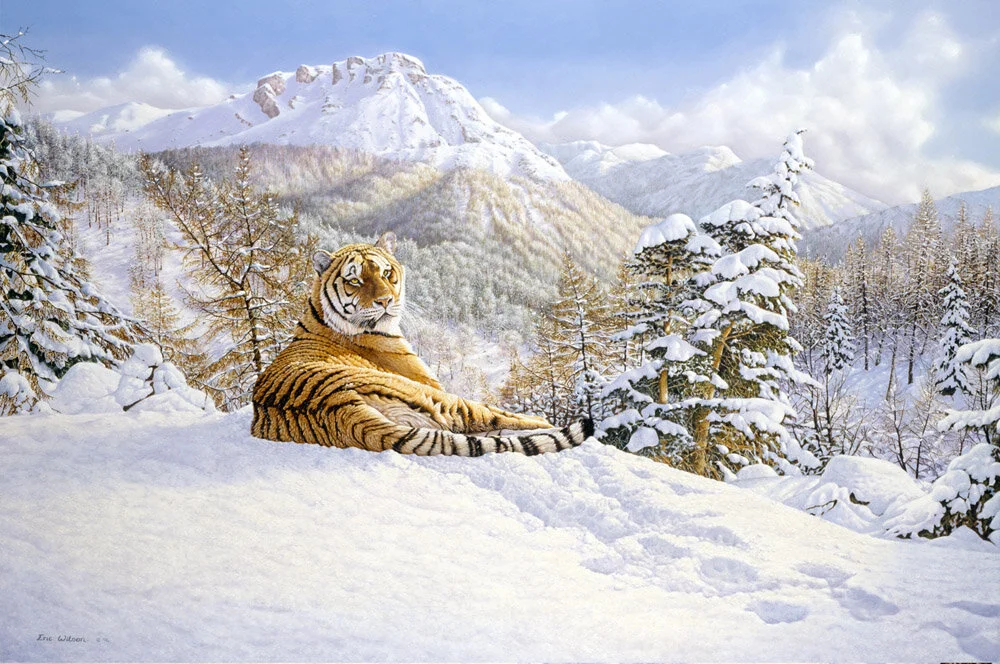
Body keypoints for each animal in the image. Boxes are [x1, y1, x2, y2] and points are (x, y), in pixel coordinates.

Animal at [251, 231, 594, 456]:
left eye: (387, 272)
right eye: (355, 280)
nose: (386, 301)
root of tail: (335, 407)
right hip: (441, 399)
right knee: (495, 418)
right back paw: (549, 423)